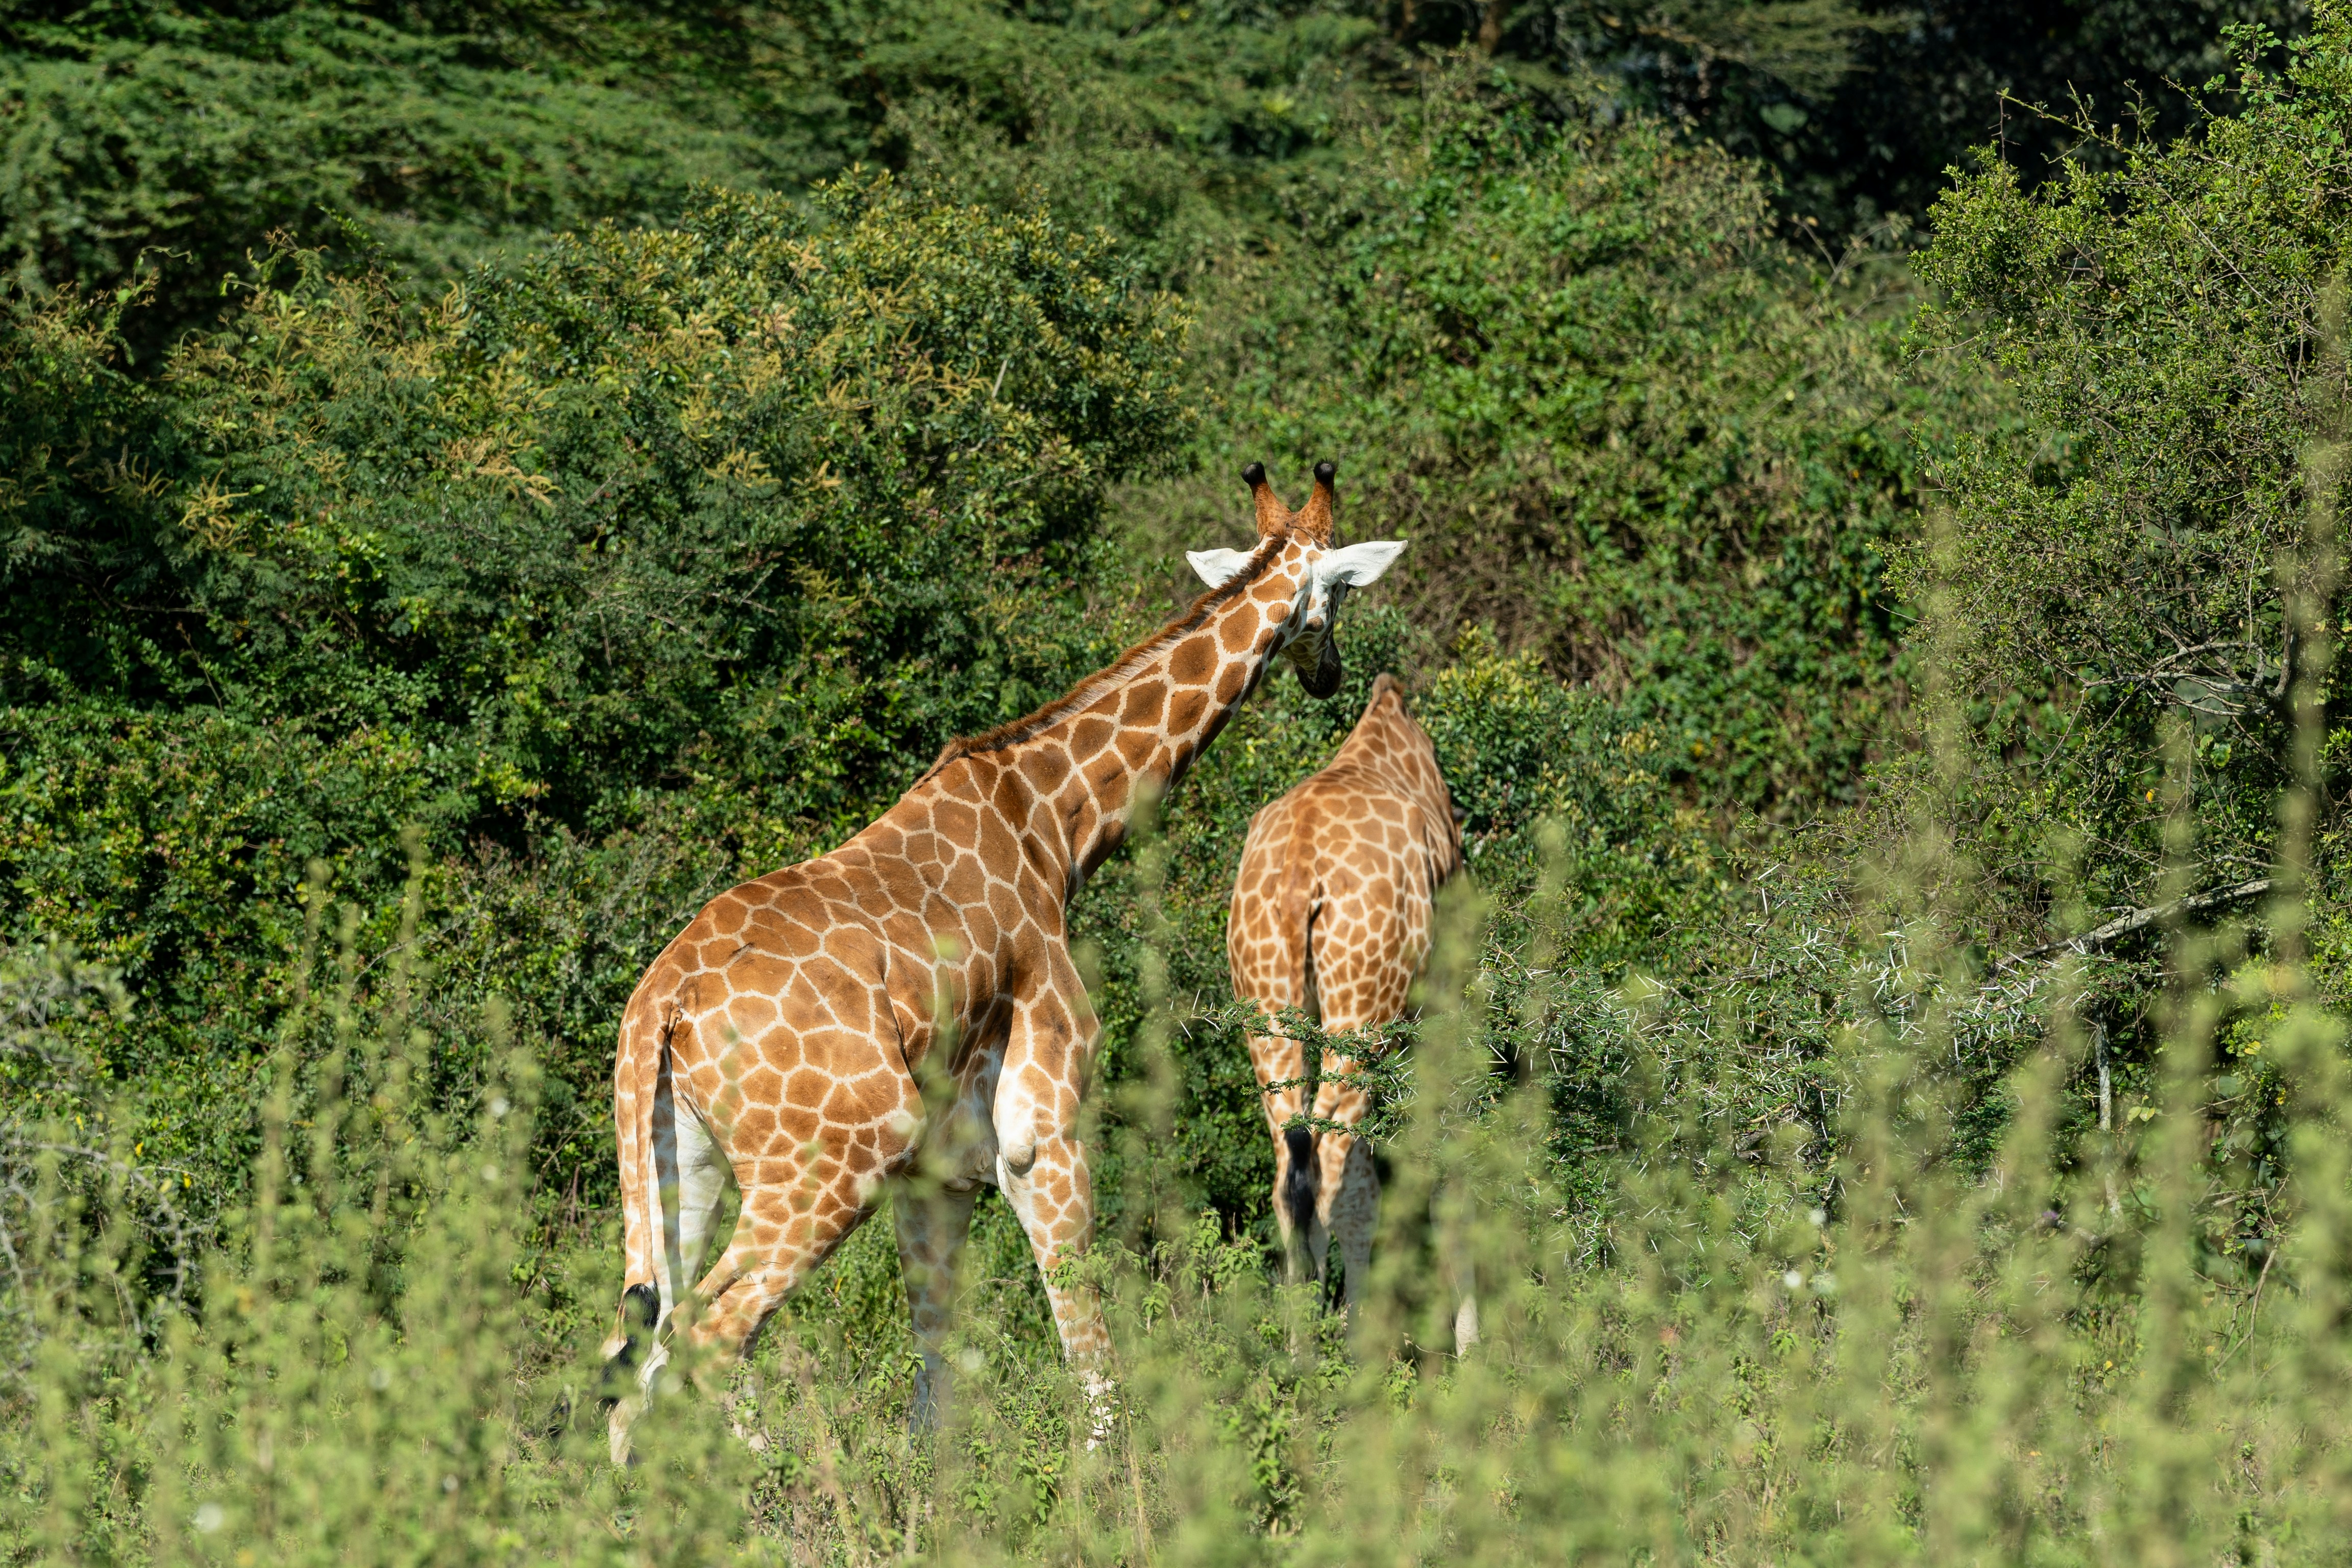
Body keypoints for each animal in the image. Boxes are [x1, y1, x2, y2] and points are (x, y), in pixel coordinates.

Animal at [602, 459, 1404, 1462]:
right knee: (703, 1341)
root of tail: (662, 1004)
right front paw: (1109, 1487)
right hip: (833, 1158)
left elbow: (934, 1392)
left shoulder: (937, 1174)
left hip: (682, 1165)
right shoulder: (1040, 1130)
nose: (1330, 674)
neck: (1054, 824)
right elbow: (1090, 1357)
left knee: (641, 1359)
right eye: (1339, 596)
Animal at [1226, 672, 1475, 1348]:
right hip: (1367, 1015)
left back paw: (1301, 1351)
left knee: (1293, 1170)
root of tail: (1299, 877)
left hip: (1269, 1011)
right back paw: (1355, 1351)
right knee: (1335, 1169)